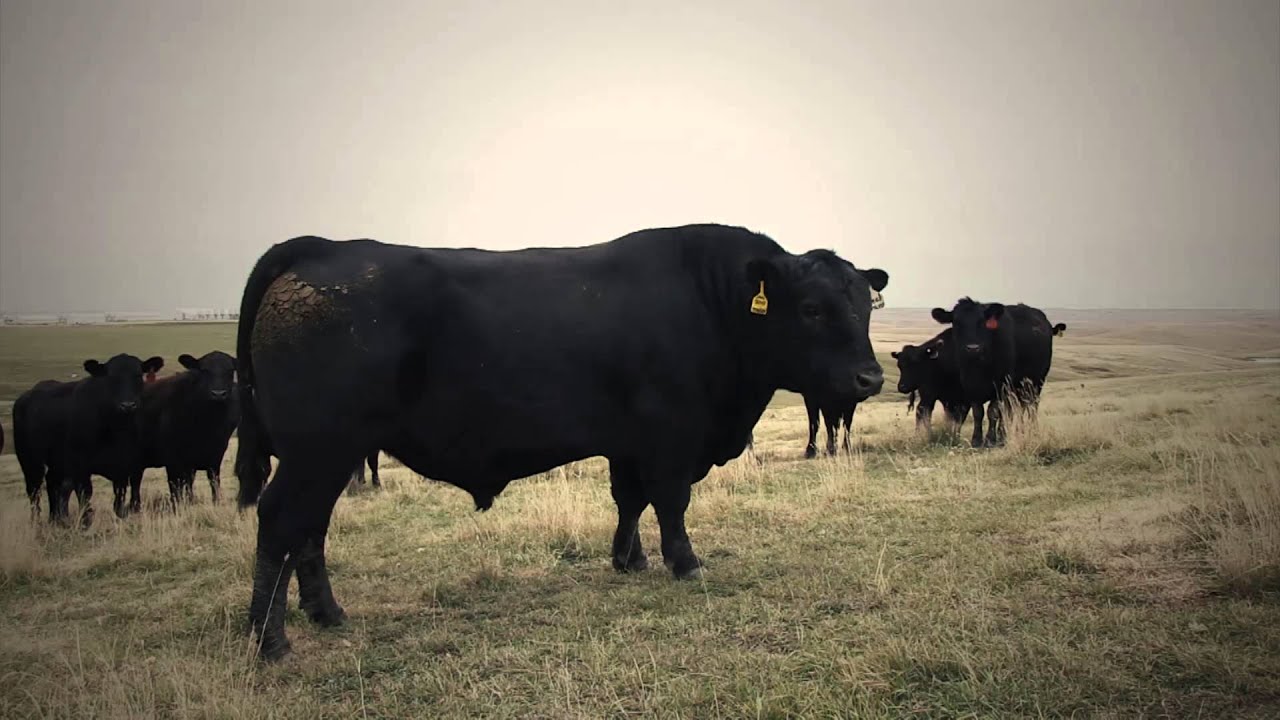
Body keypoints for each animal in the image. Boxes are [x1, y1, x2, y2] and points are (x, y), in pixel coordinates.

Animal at [12, 354, 165, 525]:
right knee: (34, 490)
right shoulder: (80, 466)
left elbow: (119, 501)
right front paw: (85, 522)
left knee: (52, 483)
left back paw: (56, 519)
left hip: (57, 462)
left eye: (138, 376)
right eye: (111, 377)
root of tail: (24, 397)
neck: (115, 430)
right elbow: (85, 496)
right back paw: (37, 521)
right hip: (29, 459)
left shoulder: (124, 465)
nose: (128, 405)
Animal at [133, 351, 240, 507]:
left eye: (230, 371)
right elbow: (176, 489)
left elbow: (212, 483)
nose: (218, 394)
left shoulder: (215, 456)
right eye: (204, 370)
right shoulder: (174, 460)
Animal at [231, 223, 889, 660]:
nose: (871, 378)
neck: (711, 302)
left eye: (866, 306)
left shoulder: (629, 443)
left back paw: (327, 614)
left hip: (330, 455)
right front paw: (684, 563)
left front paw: (629, 560)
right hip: (318, 450)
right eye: (811, 308)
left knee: (310, 529)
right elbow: (671, 503)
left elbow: (630, 501)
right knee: (282, 522)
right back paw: (270, 639)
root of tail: (324, 247)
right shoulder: (671, 436)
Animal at [930, 298, 1066, 447]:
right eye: (957, 322)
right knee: (1016, 409)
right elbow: (978, 412)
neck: (979, 366)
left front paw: (990, 439)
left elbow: (993, 412)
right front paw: (977, 439)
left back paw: (1031, 431)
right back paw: (1013, 433)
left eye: (982, 322)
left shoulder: (1000, 385)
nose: (973, 348)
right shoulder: (971, 386)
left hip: (1035, 383)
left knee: (1031, 406)